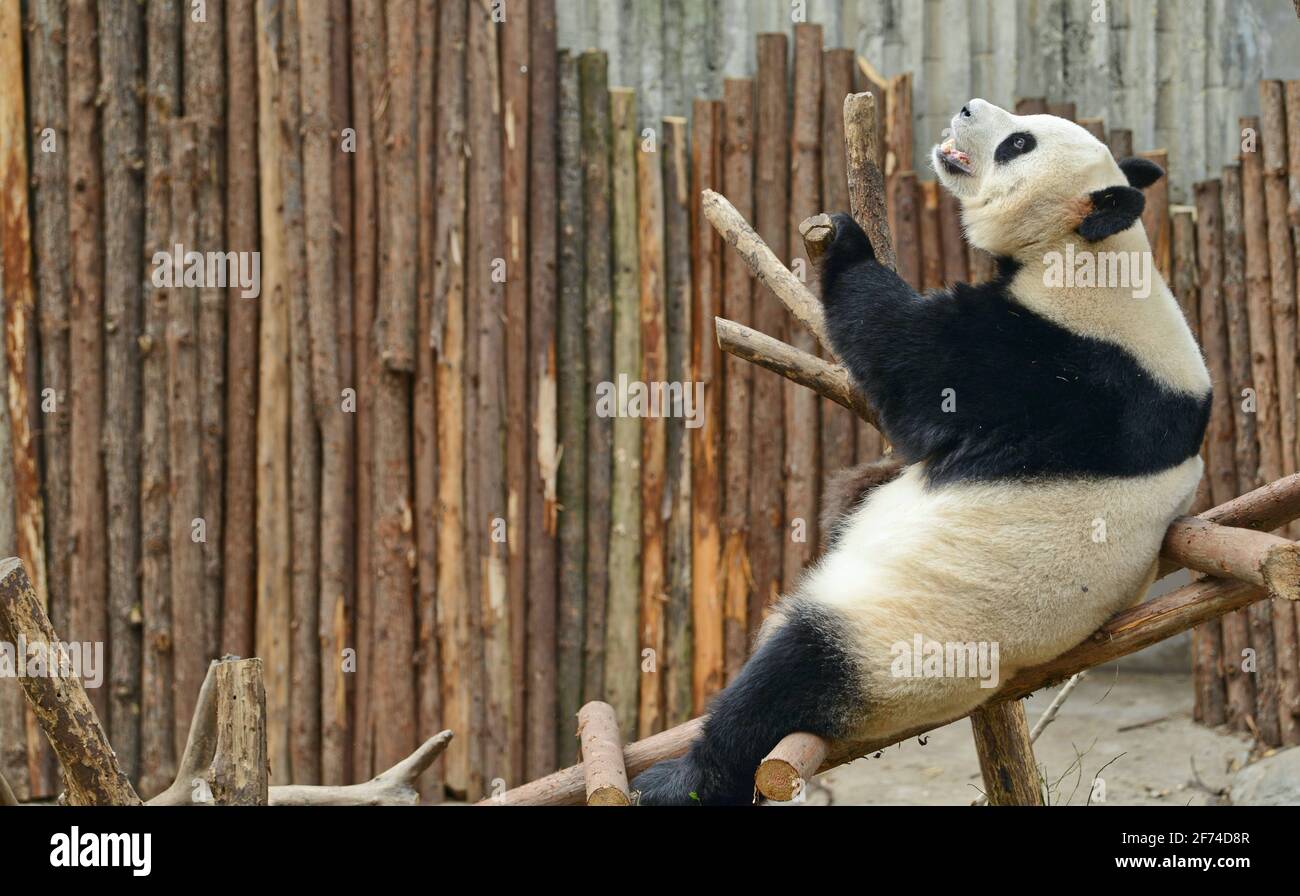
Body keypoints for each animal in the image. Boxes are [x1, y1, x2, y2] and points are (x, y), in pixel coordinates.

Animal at [634, 98, 1211, 805]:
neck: (1091, 250)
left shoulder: (1051, 359)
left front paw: (846, 239)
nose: (967, 107)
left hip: (898, 643)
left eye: (1019, 143)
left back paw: (682, 778)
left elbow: (907, 362)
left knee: (794, 676)